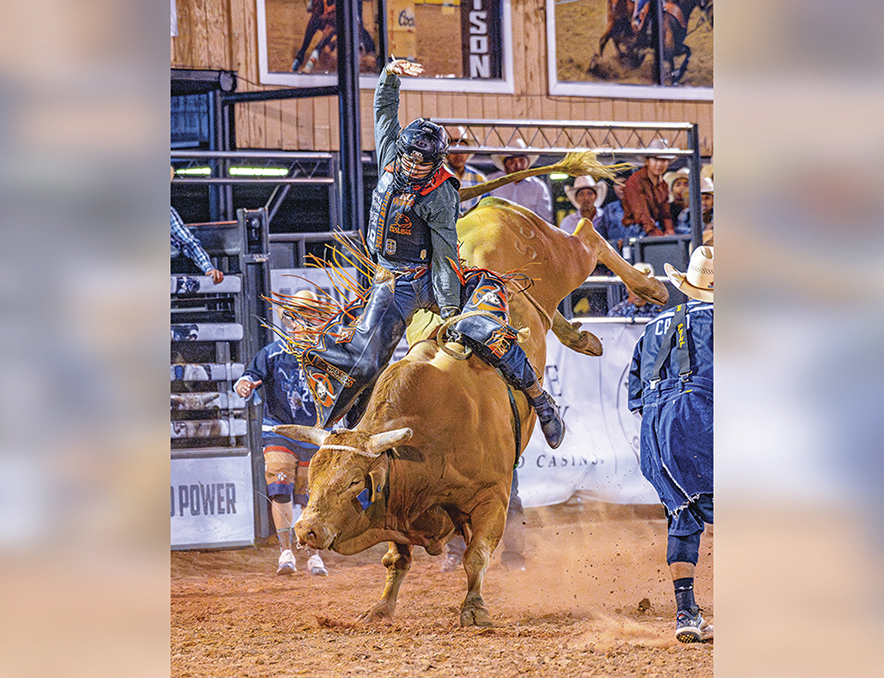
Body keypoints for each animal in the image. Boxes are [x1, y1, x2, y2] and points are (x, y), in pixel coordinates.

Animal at [275, 197, 667, 626]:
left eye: (351, 483)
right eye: (312, 479)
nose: (306, 530)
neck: (431, 441)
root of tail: (489, 207)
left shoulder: (492, 499)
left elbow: (475, 556)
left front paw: (475, 609)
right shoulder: (398, 514)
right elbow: (397, 560)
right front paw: (381, 607)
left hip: (561, 259)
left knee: (587, 235)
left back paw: (651, 287)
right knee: (555, 304)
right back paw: (583, 338)